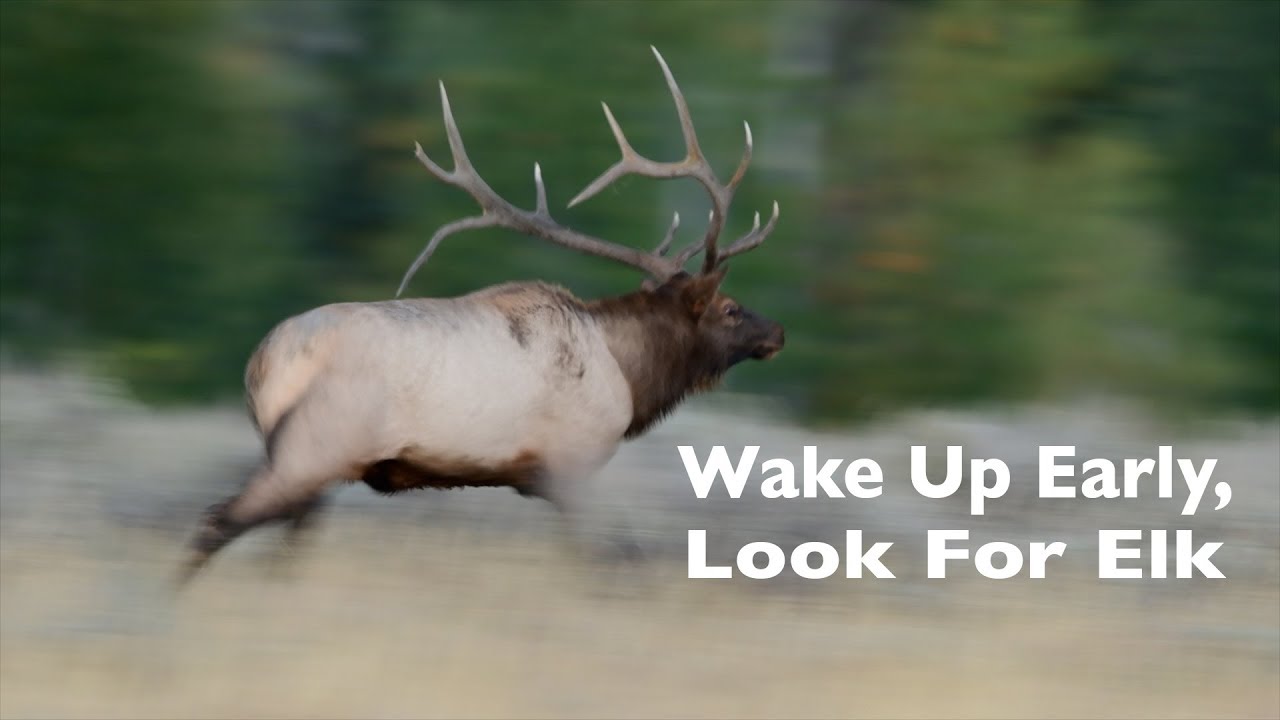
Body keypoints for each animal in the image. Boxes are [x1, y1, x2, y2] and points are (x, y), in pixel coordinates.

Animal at [180, 47, 784, 583]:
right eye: (730, 309)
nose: (777, 331)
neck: (632, 376)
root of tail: (264, 361)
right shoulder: (572, 462)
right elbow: (612, 557)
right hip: (317, 447)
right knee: (217, 523)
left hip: (301, 459)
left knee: (283, 538)